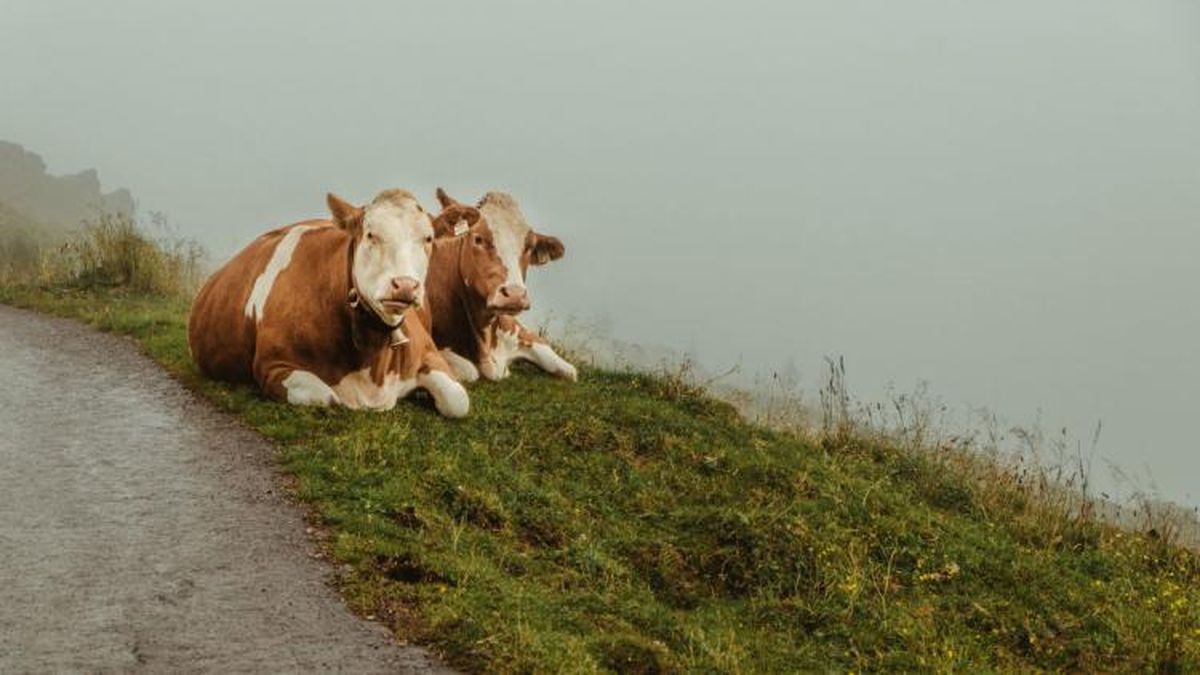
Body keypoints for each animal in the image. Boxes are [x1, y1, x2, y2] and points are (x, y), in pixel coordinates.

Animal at [187, 189, 469, 417]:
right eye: (371, 234)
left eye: (428, 239)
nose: (406, 285)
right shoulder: (272, 365)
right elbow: (329, 398)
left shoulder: (428, 353)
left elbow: (459, 402)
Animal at [424, 188, 577, 383]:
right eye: (478, 239)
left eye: (530, 246)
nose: (515, 295)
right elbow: (469, 371)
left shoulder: (514, 326)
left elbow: (567, 369)